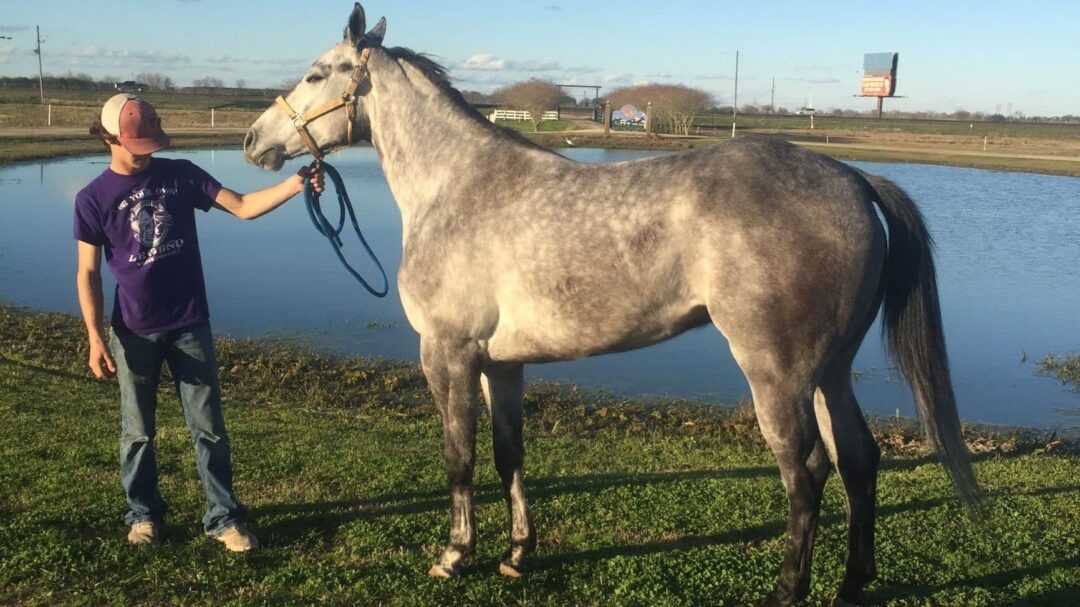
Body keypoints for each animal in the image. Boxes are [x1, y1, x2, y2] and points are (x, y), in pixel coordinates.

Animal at [244, 5, 980, 605]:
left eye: (316, 74)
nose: (254, 142)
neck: (457, 187)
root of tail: (853, 177)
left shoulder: (447, 353)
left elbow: (460, 456)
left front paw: (454, 556)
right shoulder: (502, 363)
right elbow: (510, 454)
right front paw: (517, 555)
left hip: (778, 373)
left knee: (806, 471)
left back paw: (786, 589)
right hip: (831, 370)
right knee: (859, 461)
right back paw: (853, 585)